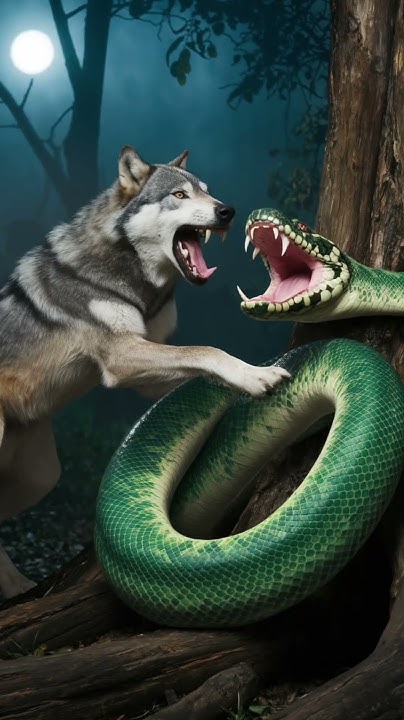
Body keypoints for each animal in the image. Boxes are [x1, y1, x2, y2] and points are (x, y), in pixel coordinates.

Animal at [0, 146, 290, 599]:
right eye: (179, 195)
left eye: (207, 191)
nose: (227, 211)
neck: (138, 281)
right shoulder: (122, 356)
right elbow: (209, 350)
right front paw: (257, 377)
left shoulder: (148, 376)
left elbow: (207, 357)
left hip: (41, 476)